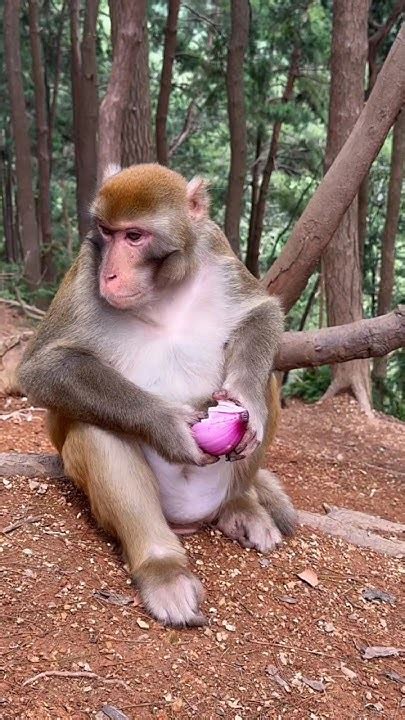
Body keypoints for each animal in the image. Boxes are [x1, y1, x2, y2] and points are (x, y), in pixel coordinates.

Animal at [18, 163, 296, 627]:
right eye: (106, 232)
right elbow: (41, 368)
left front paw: (246, 403)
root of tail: (191, 516)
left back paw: (241, 504)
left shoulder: (214, 247)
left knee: (269, 380)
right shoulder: (85, 265)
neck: (163, 292)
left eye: (135, 236)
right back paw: (161, 567)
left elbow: (261, 312)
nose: (110, 274)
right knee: (94, 426)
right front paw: (168, 426)